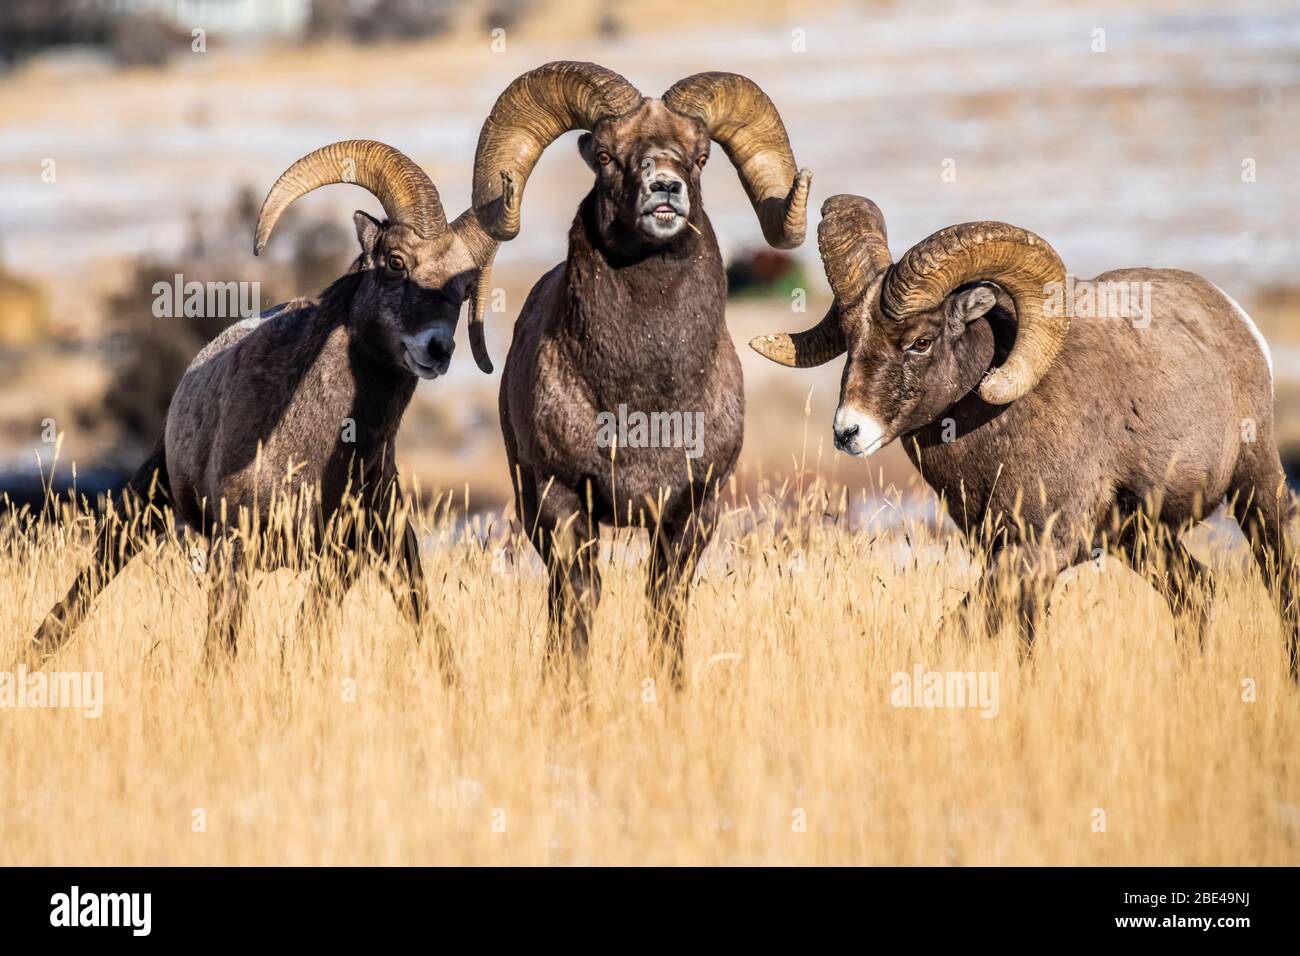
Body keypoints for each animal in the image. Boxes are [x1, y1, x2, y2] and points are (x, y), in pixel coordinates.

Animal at [28, 140, 497, 671]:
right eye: (396, 261)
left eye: (463, 288)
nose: (438, 348)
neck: (321, 446)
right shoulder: (234, 549)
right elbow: (221, 649)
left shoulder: (348, 556)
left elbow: (308, 636)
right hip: (144, 501)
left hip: (397, 551)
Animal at [467, 61, 811, 679]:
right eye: (605, 154)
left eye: (700, 156)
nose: (665, 189)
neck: (646, 406)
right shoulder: (562, 500)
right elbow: (579, 598)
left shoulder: (692, 509)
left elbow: (665, 602)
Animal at [752, 195, 1298, 677]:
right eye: (849, 339)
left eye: (920, 342)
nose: (849, 431)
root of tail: (1236, 319)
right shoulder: (1005, 552)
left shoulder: (1039, 553)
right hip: (1142, 538)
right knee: (1194, 594)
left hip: (1256, 491)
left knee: (1280, 583)